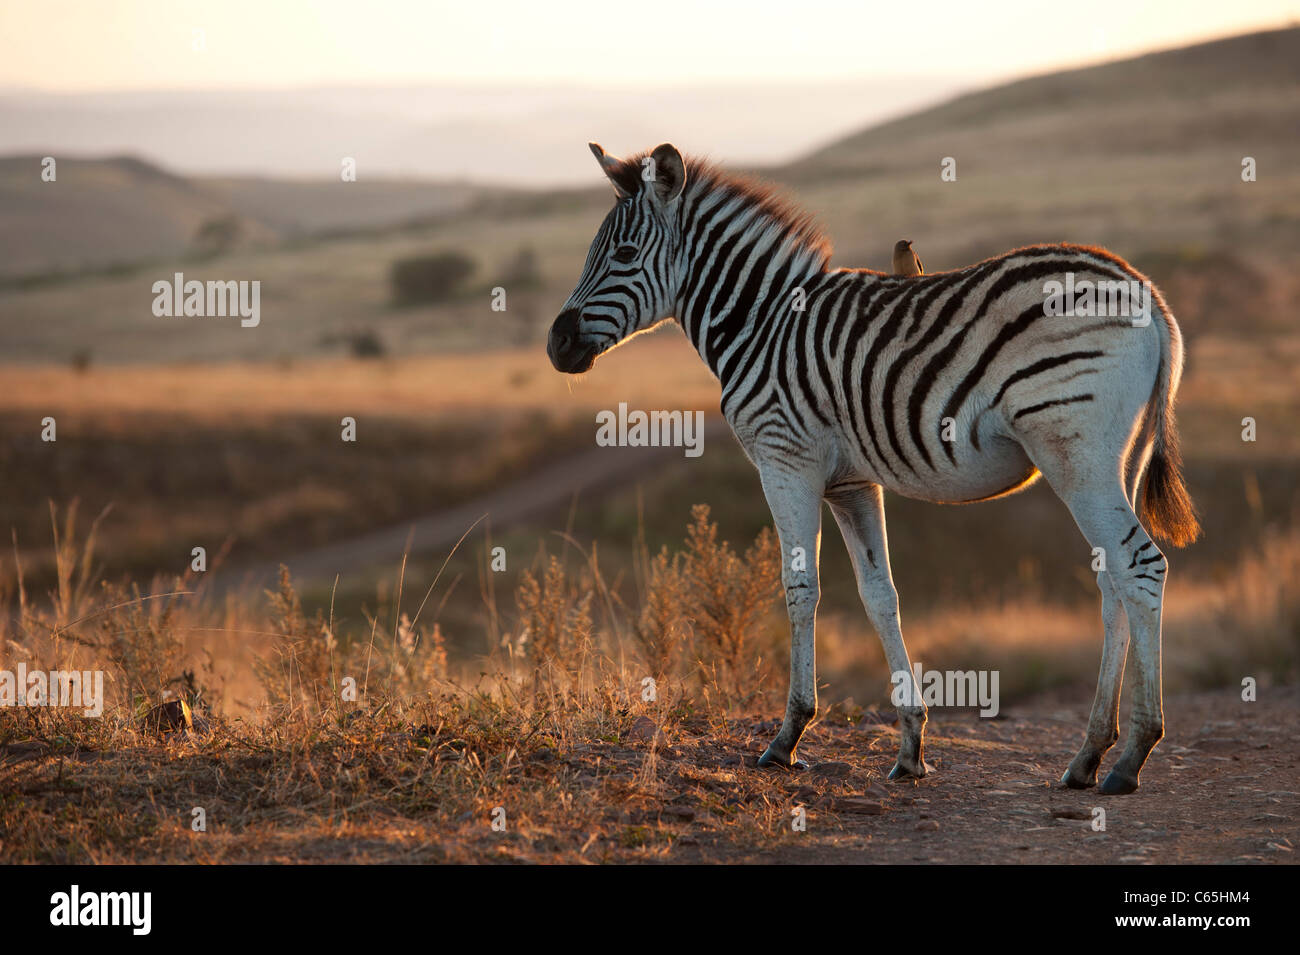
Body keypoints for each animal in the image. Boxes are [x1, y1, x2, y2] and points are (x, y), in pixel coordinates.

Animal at [547, 142, 1200, 795]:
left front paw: (788, 737)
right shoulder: (852, 483)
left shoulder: (786, 461)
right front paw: (911, 745)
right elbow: (879, 593)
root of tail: (1145, 290)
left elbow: (800, 588)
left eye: (623, 255)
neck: (762, 325)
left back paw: (1131, 755)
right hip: (1118, 457)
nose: (556, 346)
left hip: (1073, 449)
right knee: (1114, 583)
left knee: (1140, 568)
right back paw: (1088, 754)